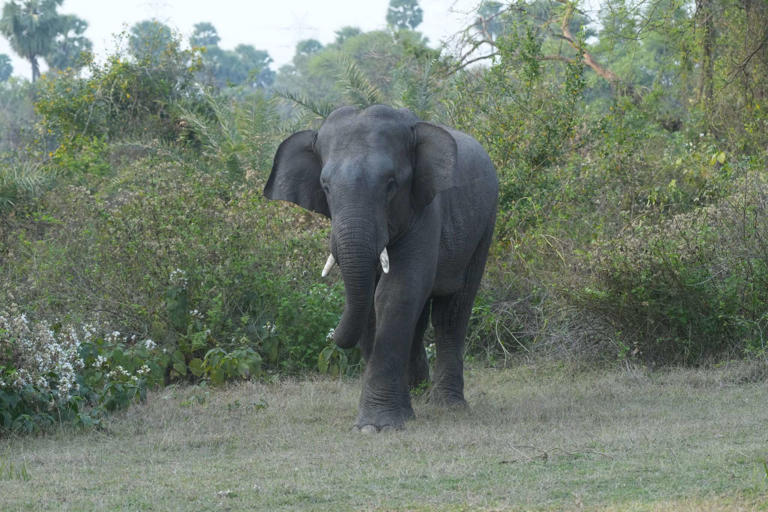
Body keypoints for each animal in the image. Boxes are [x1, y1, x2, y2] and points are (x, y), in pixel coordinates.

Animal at [264, 105, 498, 431]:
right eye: (325, 186)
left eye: (391, 183)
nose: (332, 337)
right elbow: (373, 304)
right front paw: (393, 418)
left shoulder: (426, 210)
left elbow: (395, 292)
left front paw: (374, 427)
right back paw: (417, 397)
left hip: (484, 225)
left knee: (452, 312)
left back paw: (448, 405)